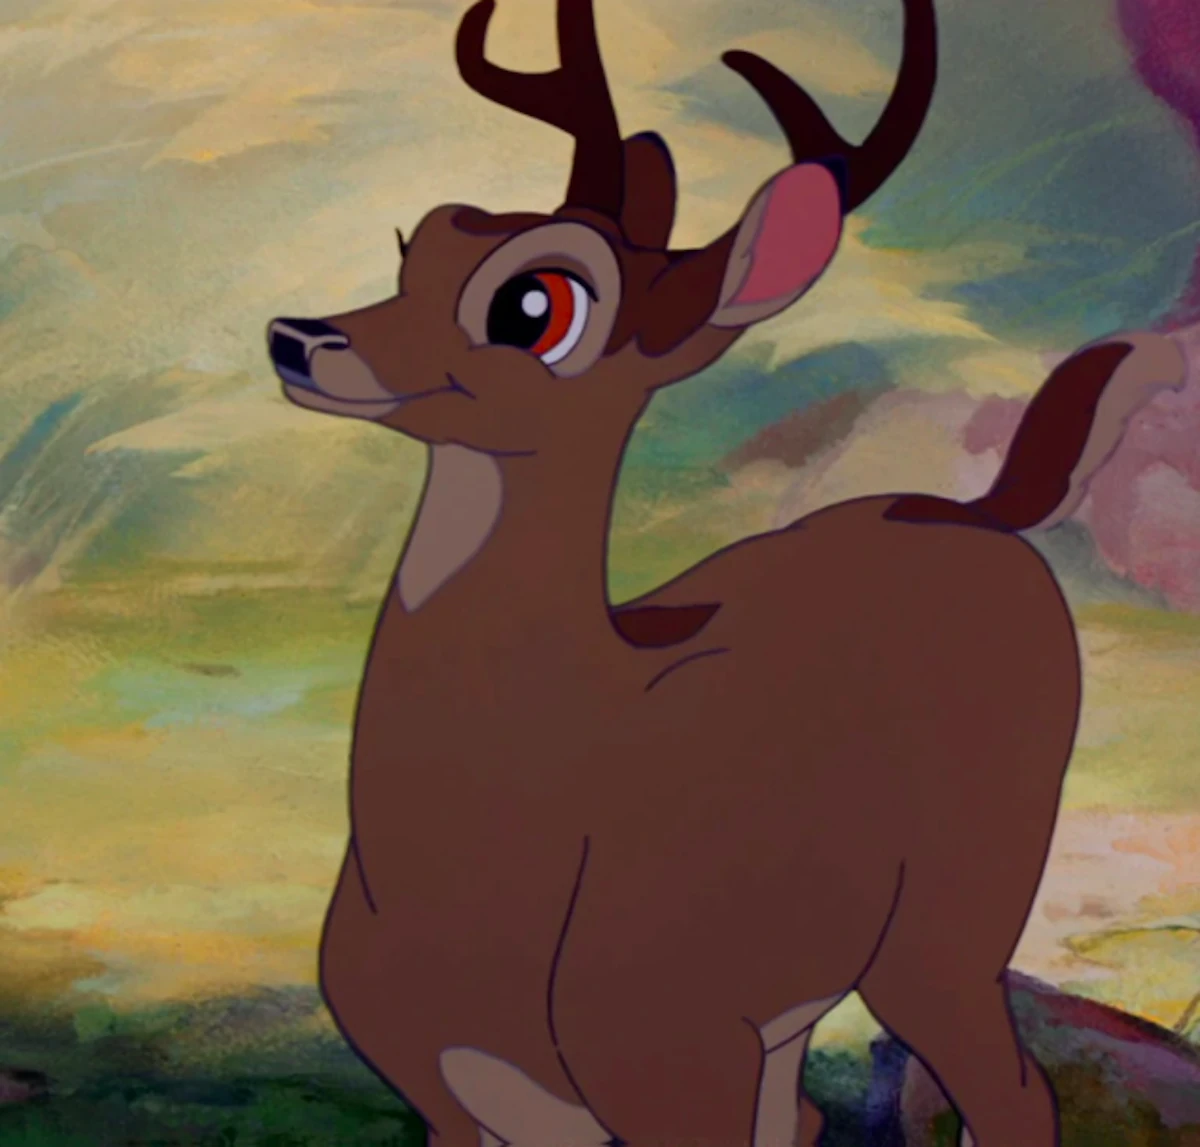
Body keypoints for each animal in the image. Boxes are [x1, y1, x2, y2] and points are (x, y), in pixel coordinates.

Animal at [264, 0, 1188, 1144]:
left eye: (535, 303)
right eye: (426, 235)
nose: (297, 337)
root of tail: (978, 510)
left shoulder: (679, 1066)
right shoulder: (461, 1109)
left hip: (950, 919)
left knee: (1013, 1090)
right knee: (813, 1116)